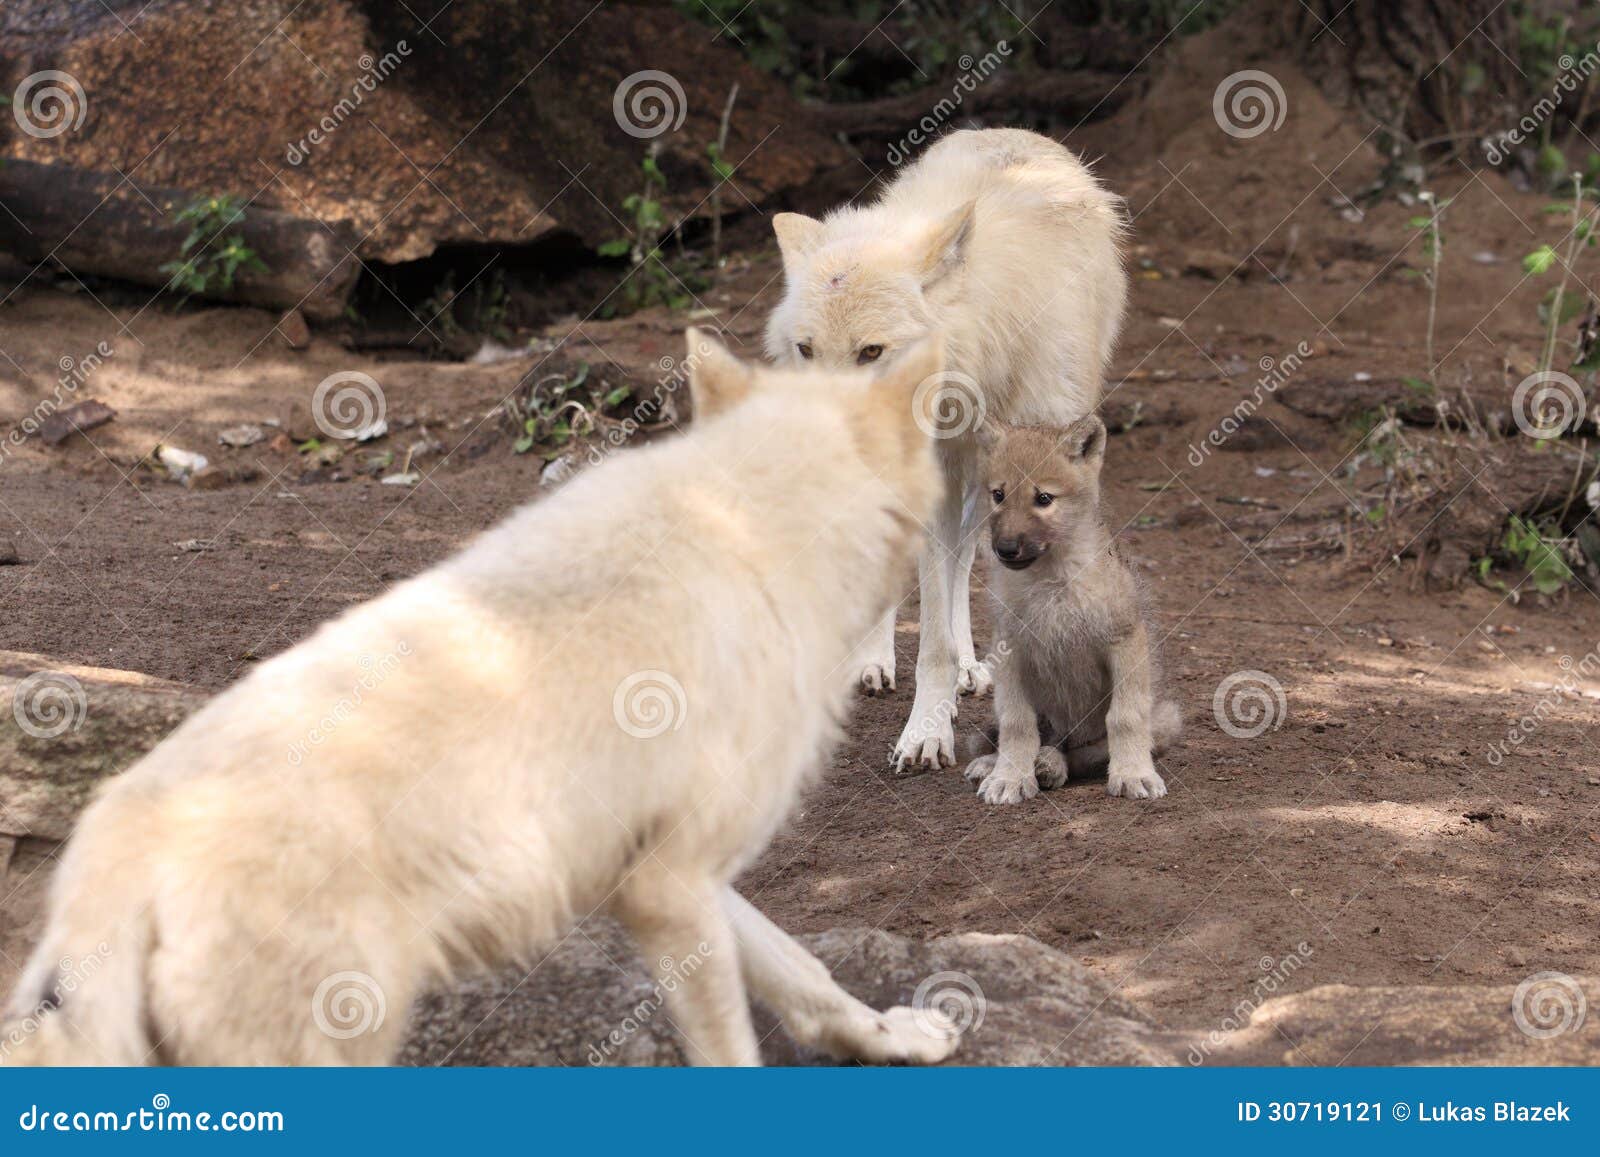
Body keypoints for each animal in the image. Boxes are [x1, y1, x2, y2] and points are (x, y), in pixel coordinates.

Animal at [1, 332, 958, 1067]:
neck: (750, 518)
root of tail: (117, 856)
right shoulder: (670, 886)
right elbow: (733, 1048)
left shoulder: (662, 867)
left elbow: (803, 968)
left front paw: (893, 1034)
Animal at [764, 127, 1127, 774]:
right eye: (806, 349)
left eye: (872, 351)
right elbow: (929, 635)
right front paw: (927, 732)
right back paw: (875, 660)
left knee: (961, 562)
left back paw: (967, 666)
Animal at [964, 416, 1180, 805]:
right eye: (998, 495)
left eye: (1044, 498)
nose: (1005, 549)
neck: (1053, 583)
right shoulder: (1009, 649)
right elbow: (1016, 722)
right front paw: (1009, 776)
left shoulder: (1125, 640)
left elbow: (1124, 717)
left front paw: (1133, 774)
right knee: (1036, 736)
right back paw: (1002, 763)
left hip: (1163, 718)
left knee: (1081, 754)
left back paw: (1051, 764)